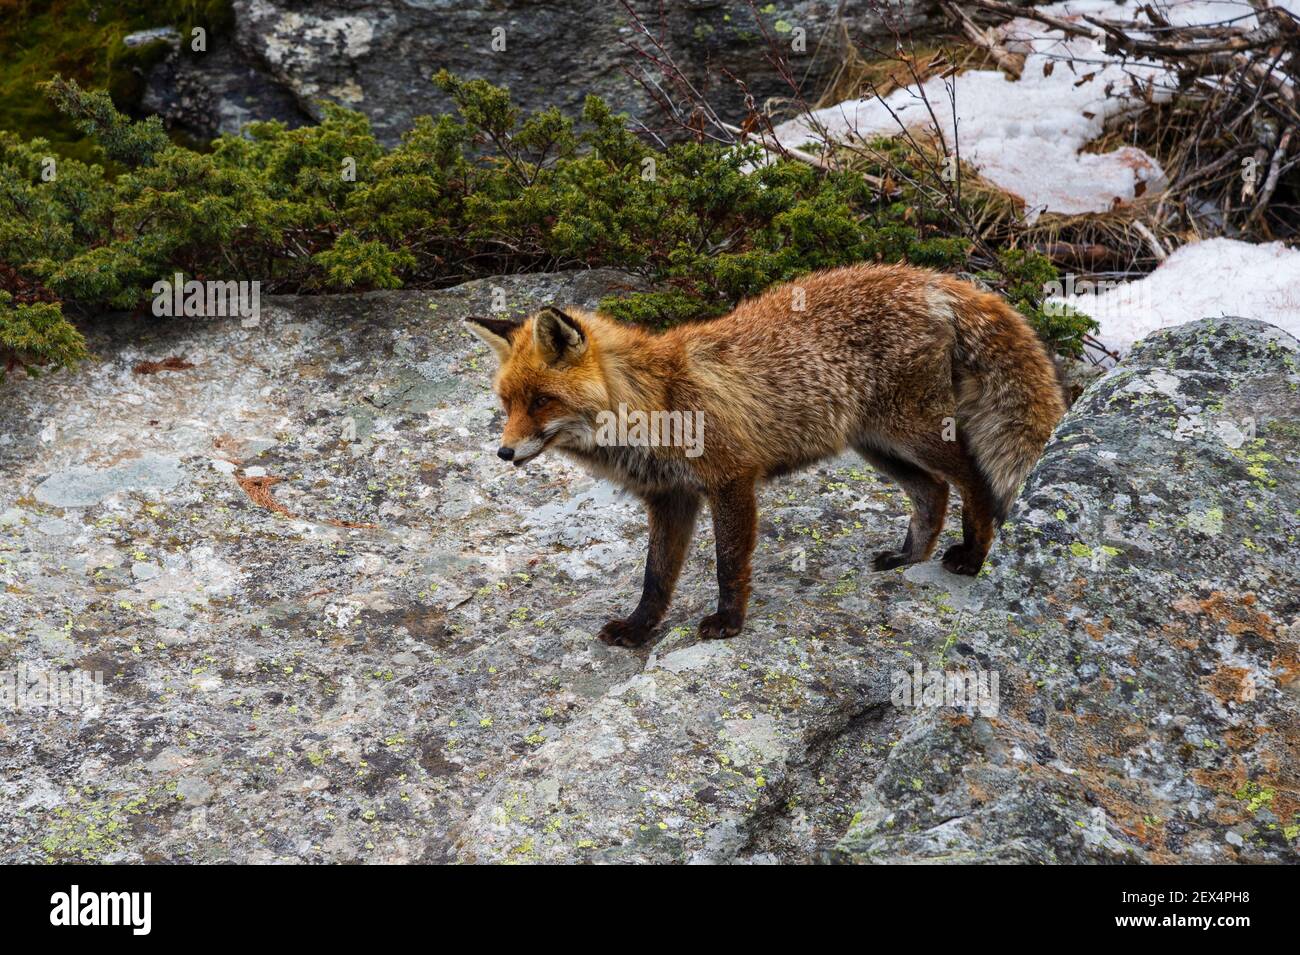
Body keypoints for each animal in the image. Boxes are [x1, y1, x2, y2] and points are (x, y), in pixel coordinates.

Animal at [466, 263, 1067, 648]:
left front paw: (728, 623)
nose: (504, 452)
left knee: (975, 482)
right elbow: (656, 577)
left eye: (542, 401)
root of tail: (925, 276)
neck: (654, 402)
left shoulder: (730, 478)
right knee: (933, 492)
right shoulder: (671, 497)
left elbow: (729, 564)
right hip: (877, 445)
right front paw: (640, 630)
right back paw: (907, 559)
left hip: (915, 433)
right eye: (506, 403)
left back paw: (974, 556)